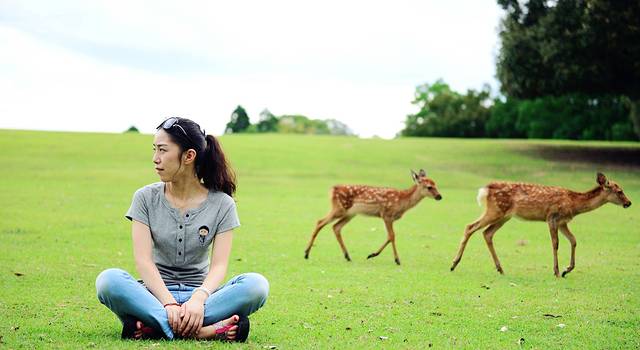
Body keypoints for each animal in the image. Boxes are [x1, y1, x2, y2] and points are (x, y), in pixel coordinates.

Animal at [304, 170, 442, 266]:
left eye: (436, 184)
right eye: (429, 187)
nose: (440, 196)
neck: (402, 201)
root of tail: (333, 189)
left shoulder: (388, 218)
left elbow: (389, 236)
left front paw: (372, 254)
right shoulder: (386, 215)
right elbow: (392, 236)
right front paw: (397, 260)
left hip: (350, 214)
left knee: (336, 227)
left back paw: (347, 256)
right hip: (340, 208)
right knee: (320, 222)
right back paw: (306, 253)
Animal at [448, 172, 632, 276]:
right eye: (619, 191)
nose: (629, 202)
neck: (574, 204)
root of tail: (485, 189)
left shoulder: (563, 222)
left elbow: (573, 240)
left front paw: (567, 269)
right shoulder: (552, 217)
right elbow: (556, 244)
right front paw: (556, 271)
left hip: (504, 216)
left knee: (487, 233)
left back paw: (500, 268)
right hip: (495, 210)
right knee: (470, 227)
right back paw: (454, 264)